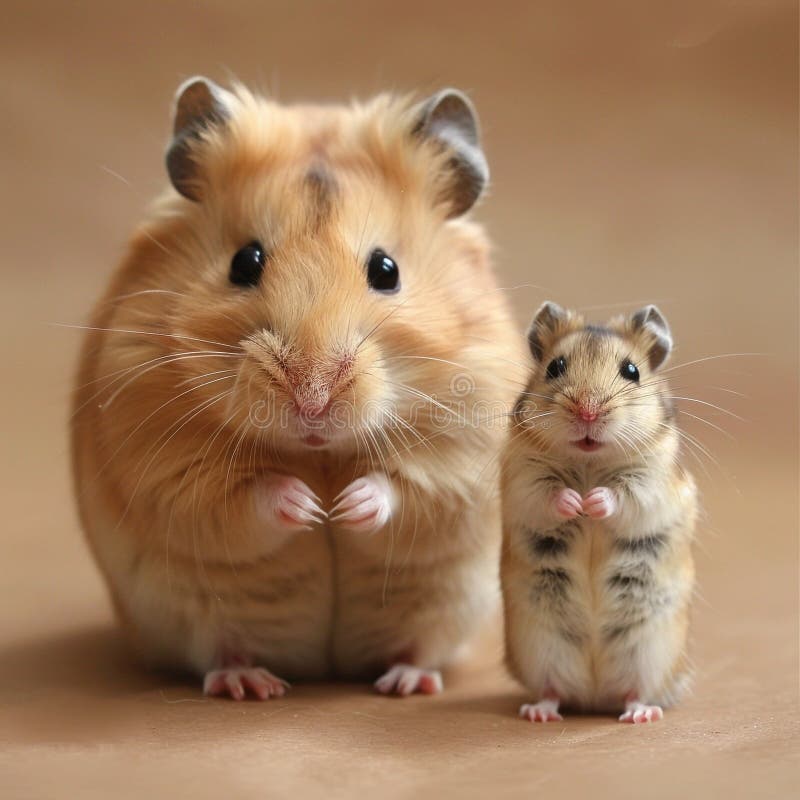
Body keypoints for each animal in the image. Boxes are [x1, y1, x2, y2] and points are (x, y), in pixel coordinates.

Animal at [70, 77, 524, 700]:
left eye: (386, 269)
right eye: (245, 262)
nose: (312, 400)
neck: (320, 454)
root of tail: (324, 667)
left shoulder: (463, 459)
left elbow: (404, 491)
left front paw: (344, 507)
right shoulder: (164, 461)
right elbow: (241, 498)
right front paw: (310, 508)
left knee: (422, 646)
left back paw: (405, 681)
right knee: (219, 650)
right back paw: (251, 683)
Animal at [501, 302, 697, 723]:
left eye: (632, 371)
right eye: (555, 367)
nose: (587, 413)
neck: (589, 462)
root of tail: (593, 698)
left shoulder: (651, 483)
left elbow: (623, 496)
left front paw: (593, 504)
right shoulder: (523, 479)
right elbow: (547, 495)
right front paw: (575, 504)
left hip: (650, 652)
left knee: (636, 691)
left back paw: (640, 715)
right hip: (540, 646)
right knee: (552, 689)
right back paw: (539, 713)